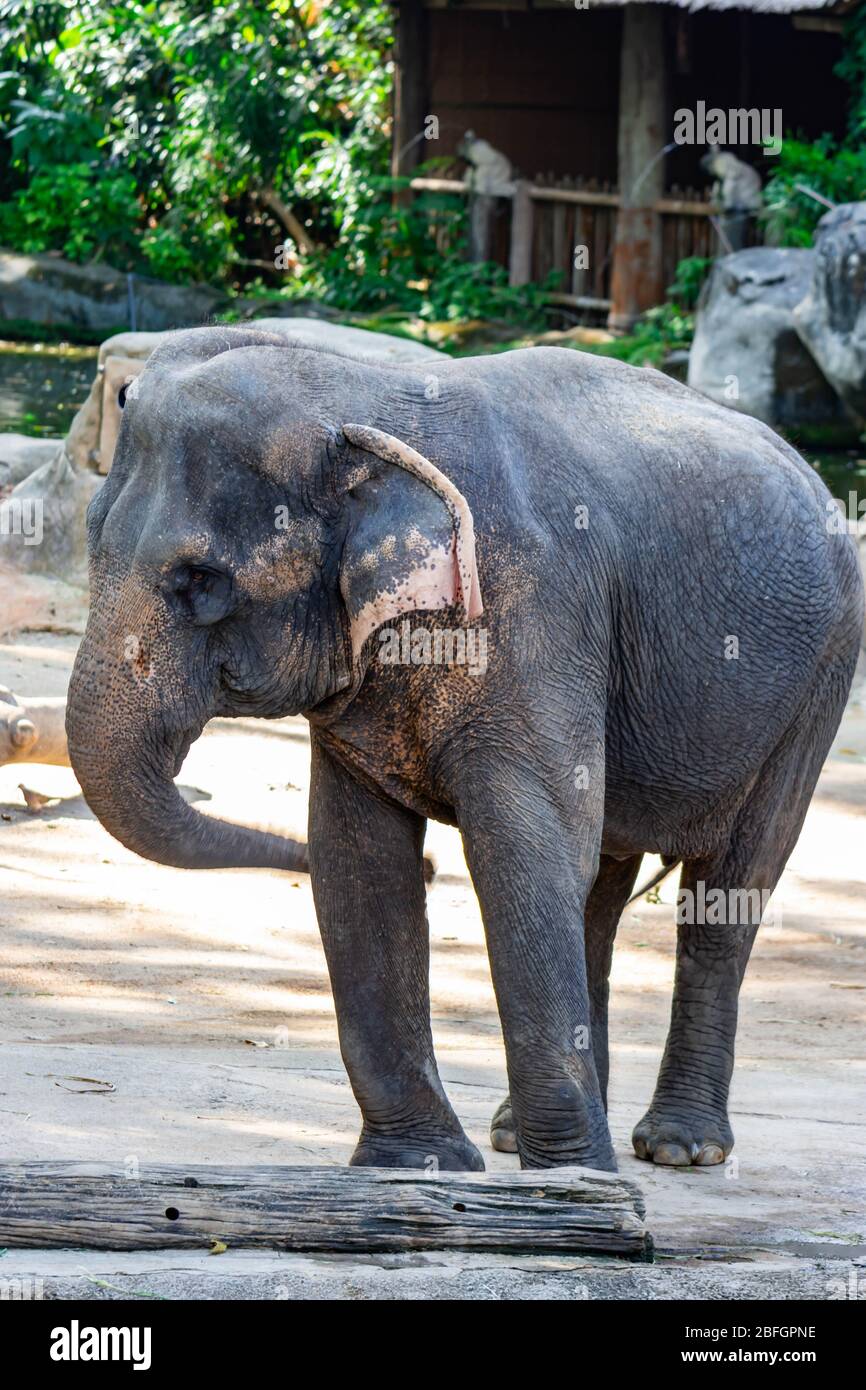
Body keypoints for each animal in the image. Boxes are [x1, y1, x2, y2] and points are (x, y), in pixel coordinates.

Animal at [66, 326, 863, 1173]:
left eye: (201, 581)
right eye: (88, 538)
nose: (434, 867)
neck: (363, 399)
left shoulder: (532, 618)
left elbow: (524, 849)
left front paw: (574, 1183)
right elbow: (355, 861)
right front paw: (418, 1167)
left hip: (821, 679)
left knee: (728, 892)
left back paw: (679, 1149)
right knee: (599, 890)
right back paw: (519, 1135)